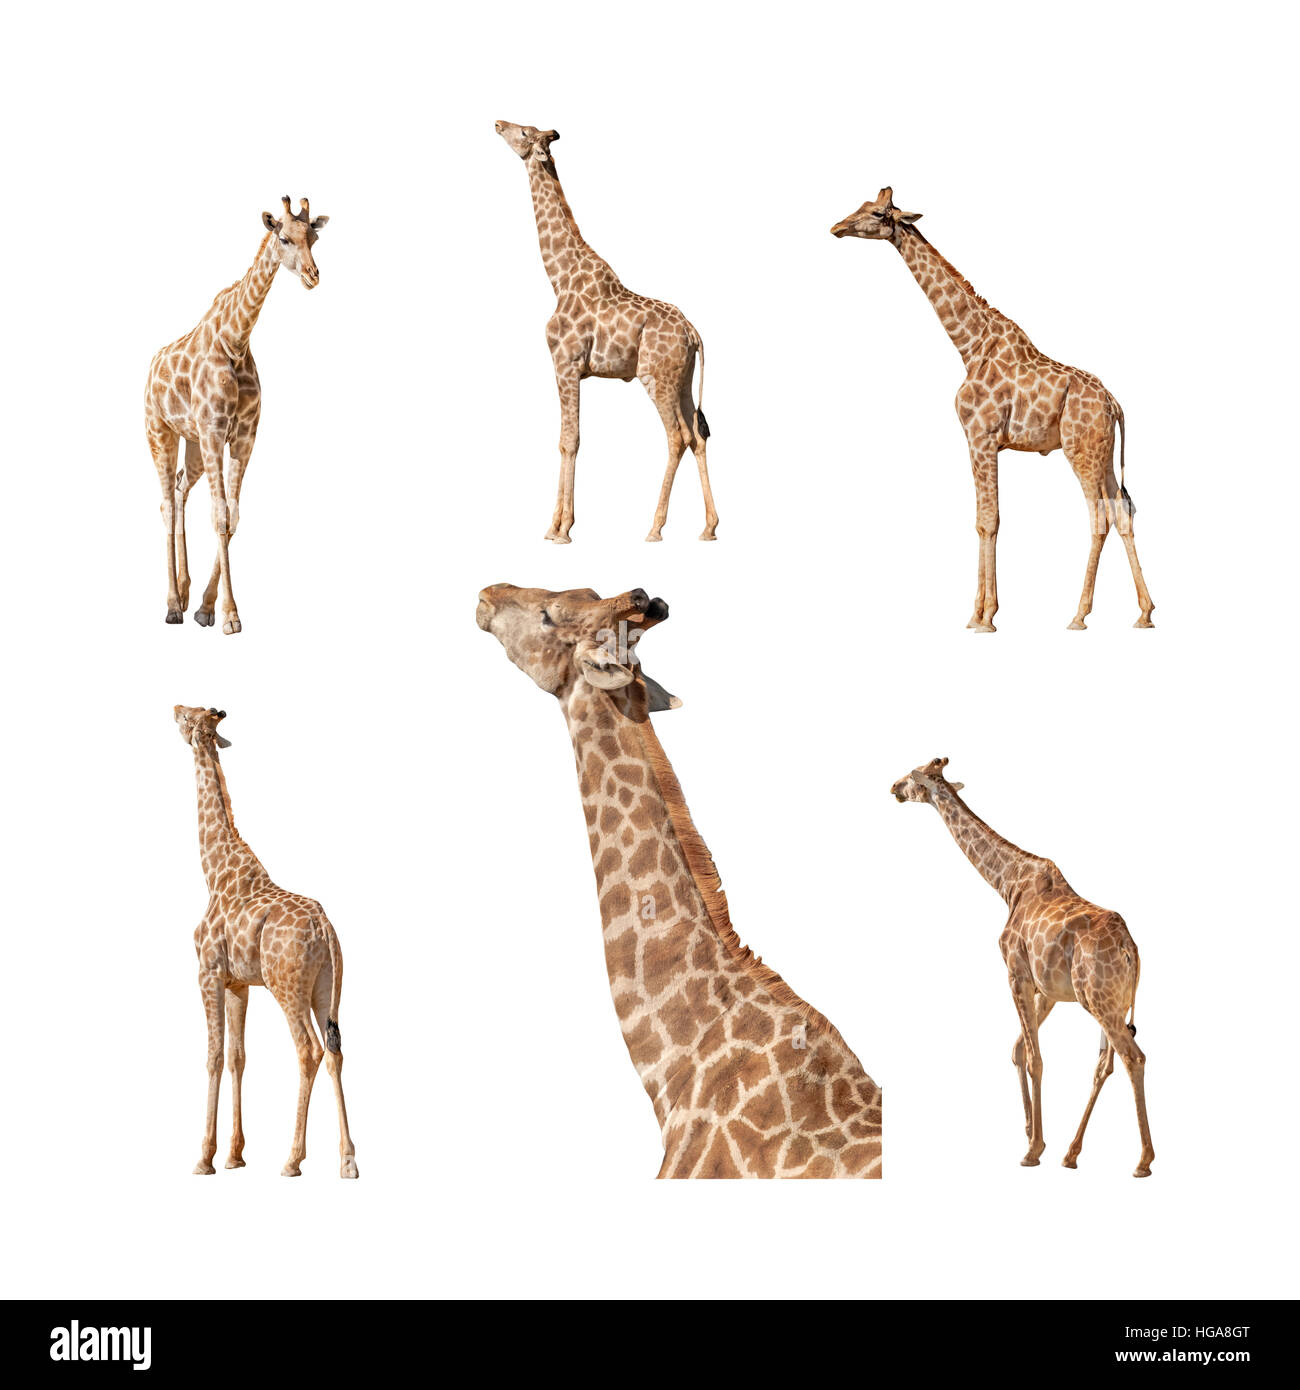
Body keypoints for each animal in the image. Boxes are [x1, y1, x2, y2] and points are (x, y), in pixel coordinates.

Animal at [145, 197, 328, 633]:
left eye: (313, 237)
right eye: (283, 238)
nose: (313, 276)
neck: (236, 339)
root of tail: (149, 368)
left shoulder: (243, 435)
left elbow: (234, 517)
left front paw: (206, 608)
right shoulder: (215, 431)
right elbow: (220, 515)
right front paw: (230, 616)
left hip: (192, 442)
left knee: (180, 489)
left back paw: (185, 592)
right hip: (160, 433)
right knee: (165, 502)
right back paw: (171, 605)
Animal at [173, 705, 358, 1179]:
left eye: (190, 718)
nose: (173, 708)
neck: (214, 871)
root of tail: (326, 929)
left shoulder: (207, 972)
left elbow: (214, 1055)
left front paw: (204, 1158)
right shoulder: (239, 983)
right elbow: (238, 1056)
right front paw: (235, 1155)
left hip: (287, 986)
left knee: (308, 1050)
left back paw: (292, 1159)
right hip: (327, 987)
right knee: (335, 1051)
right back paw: (348, 1161)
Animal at [495, 122, 719, 544]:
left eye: (525, 132)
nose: (498, 124)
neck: (559, 277)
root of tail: (694, 333)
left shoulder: (565, 364)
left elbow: (569, 441)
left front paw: (560, 529)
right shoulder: (572, 369)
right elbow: (568, 439)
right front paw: (556, 526)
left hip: (657, 378)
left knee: (677, 436)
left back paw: (654, 528)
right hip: (682, 381)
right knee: (698, 437)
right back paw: (709, 528)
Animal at [832, 188, 1155, 632]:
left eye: (879, 213)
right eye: (863, 206)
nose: (837, 227)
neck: (969, 345)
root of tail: (1115, 403)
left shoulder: (980, 436)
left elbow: (989, 520)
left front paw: (985, 616)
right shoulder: (982, 441)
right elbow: (983, 519)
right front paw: (977, 614)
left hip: (1081, 452)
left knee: (1099, 518)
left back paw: (1079, 615)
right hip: (1103, 453)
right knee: (1124, 512)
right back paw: (1144, 613)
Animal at [891, 757, 1154, 1177]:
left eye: (913, 776)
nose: (893, 788)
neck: (1007, 884)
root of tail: (1132, 950)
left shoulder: (1016, 973)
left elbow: (1034, 1059)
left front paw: (1032, 1150)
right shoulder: (1047, 990)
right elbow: (1017, 1050)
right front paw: (1034, 1136)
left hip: (1099, 1001)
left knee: (1134, 1058)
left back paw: (1142, 1161)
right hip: (1108, 1003)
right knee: (1104, 1065)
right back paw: (1071, 1154)